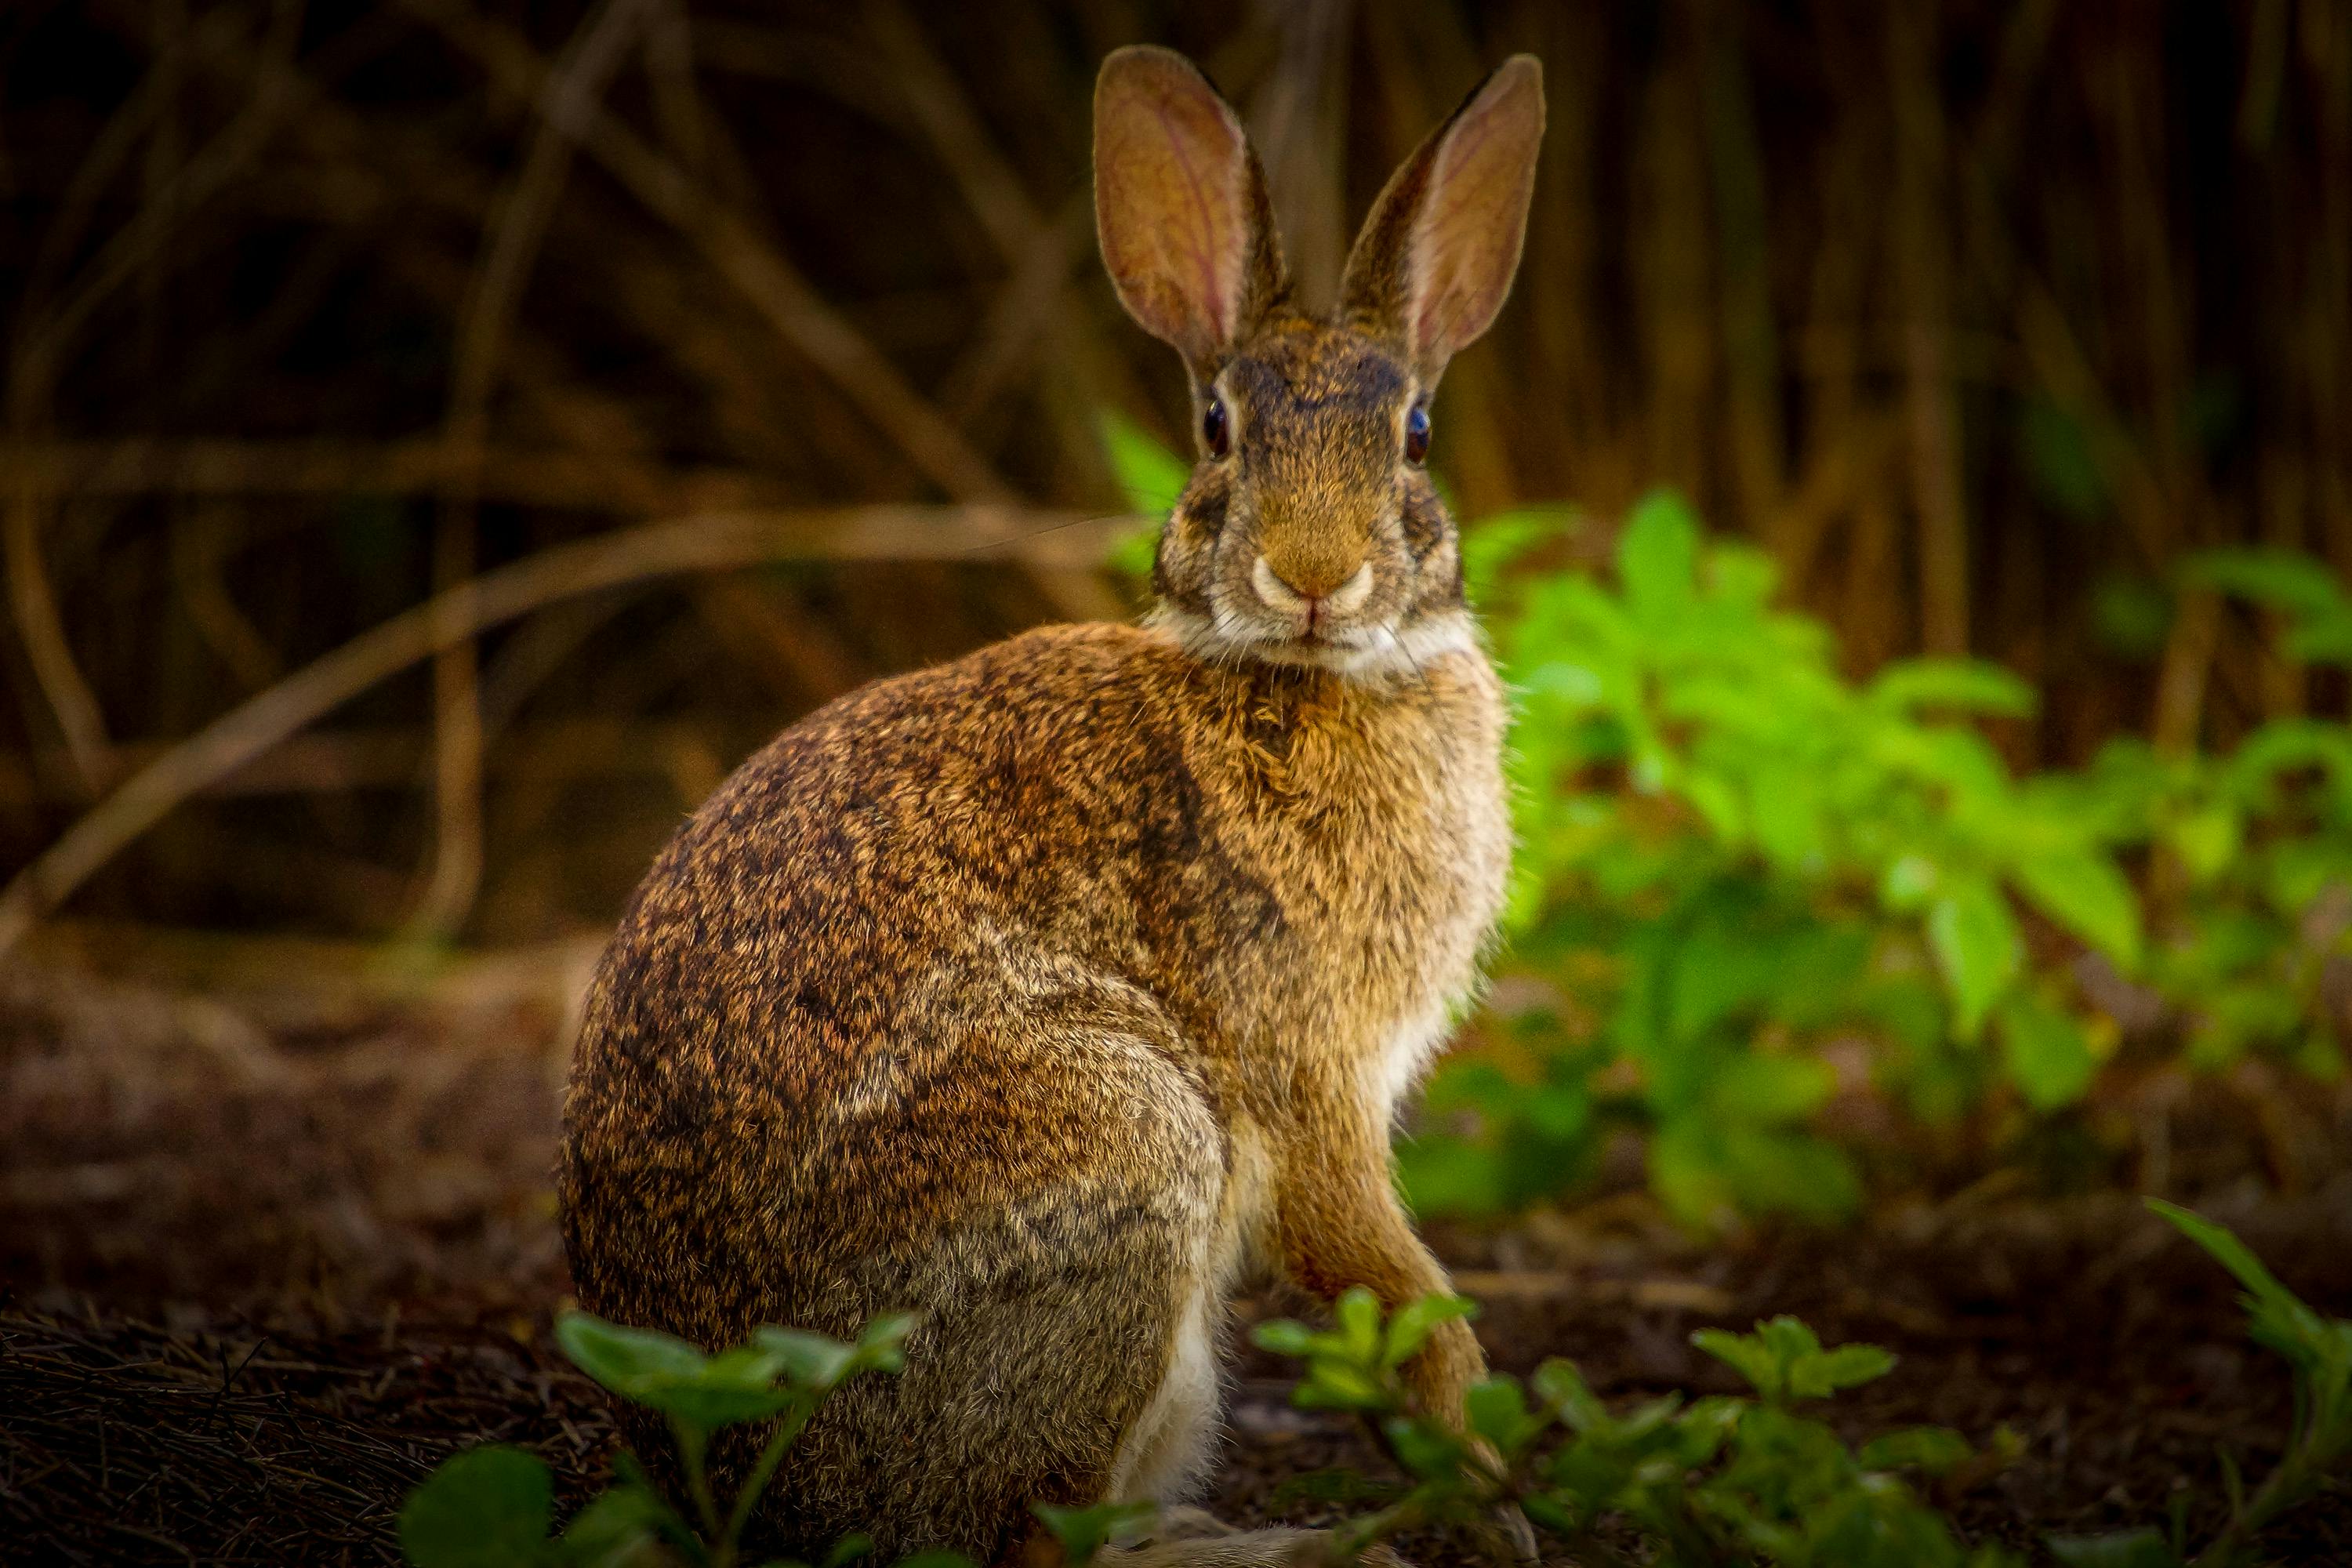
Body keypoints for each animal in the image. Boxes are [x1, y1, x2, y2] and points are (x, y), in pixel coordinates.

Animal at [560, 42, 1544, 1568]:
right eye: (1218, 429)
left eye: (1418, 435)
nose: (1311, 577)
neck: (1298, 679)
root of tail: (723, 1474)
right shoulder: (1307, 1072)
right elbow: (1398, 1303)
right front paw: (1493, 1502)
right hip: (1120, 1153)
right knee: (1022, 1533)